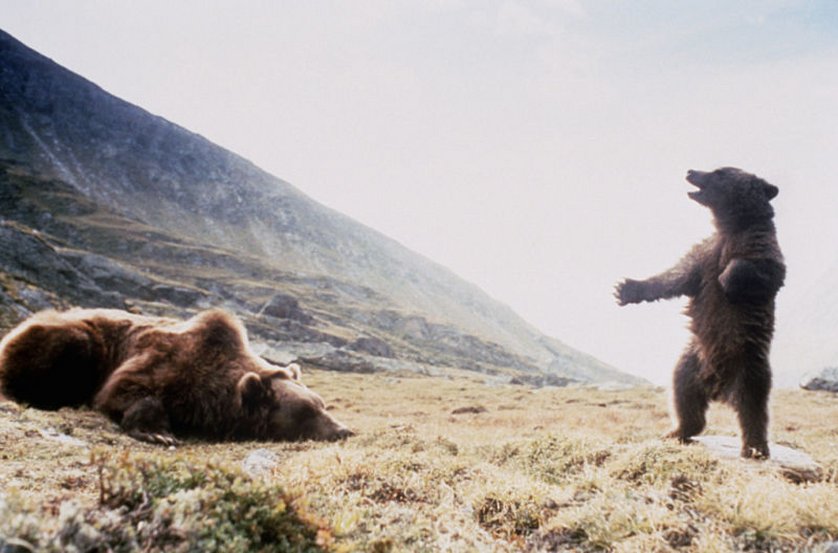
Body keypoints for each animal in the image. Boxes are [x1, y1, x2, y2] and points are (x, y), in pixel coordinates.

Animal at [0, 308, 354, 445]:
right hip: (67, 337)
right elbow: (122, 391)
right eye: (307, 412)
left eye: (322, 404)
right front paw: (159, 433)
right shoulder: (162, 361)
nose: (344, 430)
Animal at [615, 167, 785, 459]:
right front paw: (625, 289)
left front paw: (727, 278)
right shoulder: (704, 255)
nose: (691, 171)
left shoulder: (760, 248)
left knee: (754, 407)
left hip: (749, 365)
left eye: (720, 172)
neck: (730, 225)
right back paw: (676, 431)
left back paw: (756, 448)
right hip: (691, 362)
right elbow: (674, 278)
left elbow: (760, 270)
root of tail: (718, 386)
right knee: (682, 395)